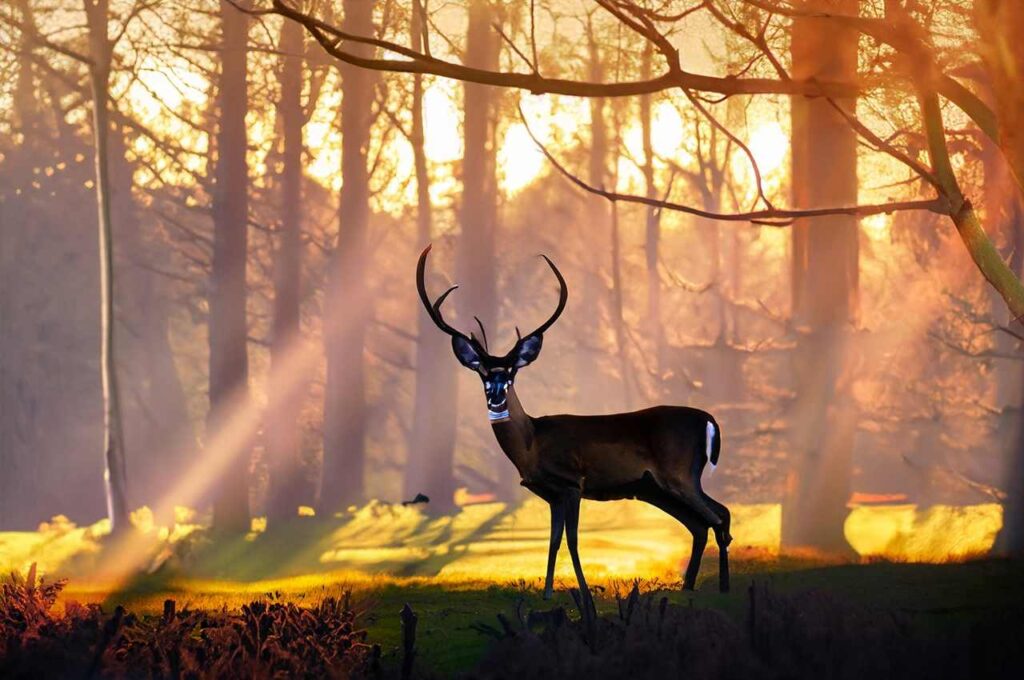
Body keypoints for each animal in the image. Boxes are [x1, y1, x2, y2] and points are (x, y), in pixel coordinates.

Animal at [416, 244, 733, 616]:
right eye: (482, 373)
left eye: (511, 372)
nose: (496, 397)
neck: (531, 446)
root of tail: (710, 420)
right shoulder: (549, 493)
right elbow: (553, 541)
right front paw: (547, 593)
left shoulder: (572, 482)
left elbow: (573, 540)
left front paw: (584, 596)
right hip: (654, 488)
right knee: (704, 522)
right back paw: (690, 587)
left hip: (679, 473)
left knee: (718, 518)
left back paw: (723, 588)